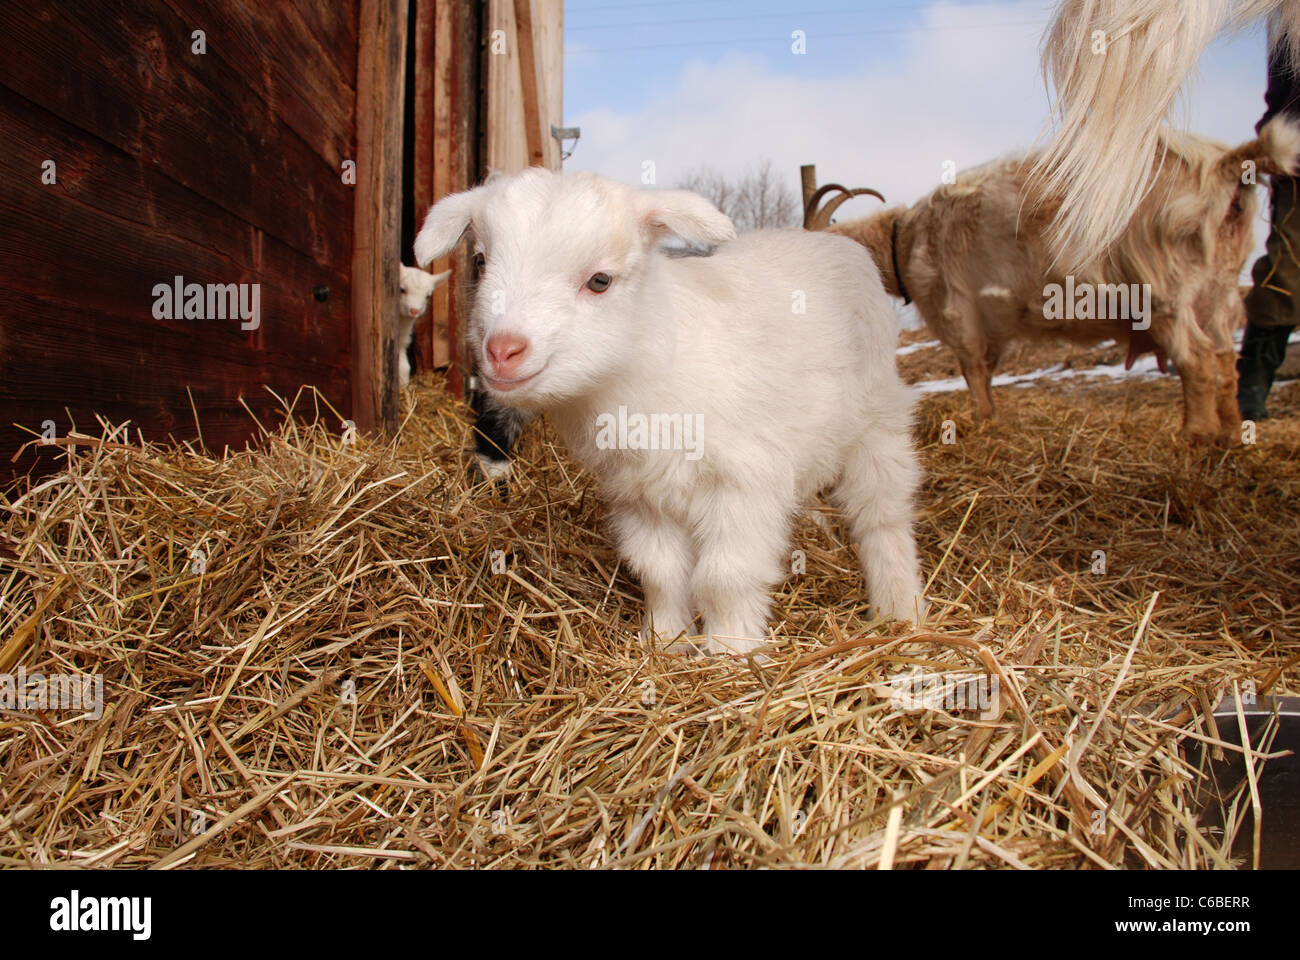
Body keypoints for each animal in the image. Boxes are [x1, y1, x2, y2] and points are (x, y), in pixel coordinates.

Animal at [415, 168, 925, 655]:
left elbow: (726, 576)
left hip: (878, 424)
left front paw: (730, 652)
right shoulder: (640, 495)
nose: (503, 351)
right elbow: (660, 573)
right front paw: (665, 643)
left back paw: (899, 611)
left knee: (883, 518)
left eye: (600, 281)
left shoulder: (745, 482)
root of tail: (838, 243)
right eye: (481, 262)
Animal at [827, 125, 1297, 441]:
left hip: (1163, 289)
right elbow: (988, 372)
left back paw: (1194, 436)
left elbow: (972, 369)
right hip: (1217, 288)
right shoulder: (995, 326)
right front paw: (991, 416)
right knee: (1223, 359)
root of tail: (1221, 167)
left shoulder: (955, 310)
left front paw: (979, 421)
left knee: (1196, 359)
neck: (906, 238)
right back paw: (1232, 433)